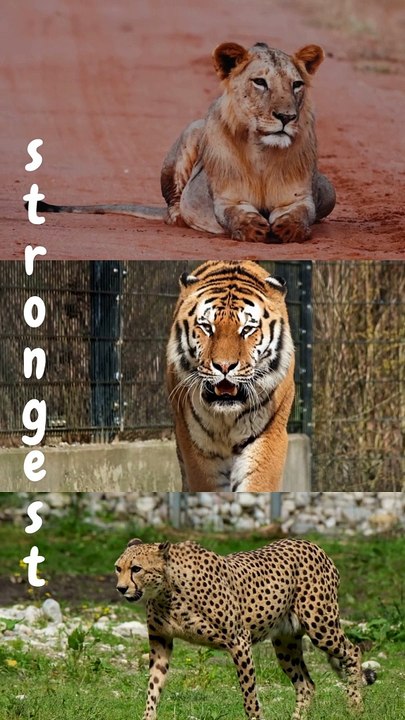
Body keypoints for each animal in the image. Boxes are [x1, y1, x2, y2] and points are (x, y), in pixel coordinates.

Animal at [32, 41, 335, 244]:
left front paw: (291, 229)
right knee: (172, 206)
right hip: (192, 131)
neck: (262, 150)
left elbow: (299, 214)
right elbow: (237, 214)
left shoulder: (298, 197)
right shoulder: (227, 198)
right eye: (260, 82)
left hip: (328, 188)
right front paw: (251, 228)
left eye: (296, 85)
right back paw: (183, 218)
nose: (286, 117)